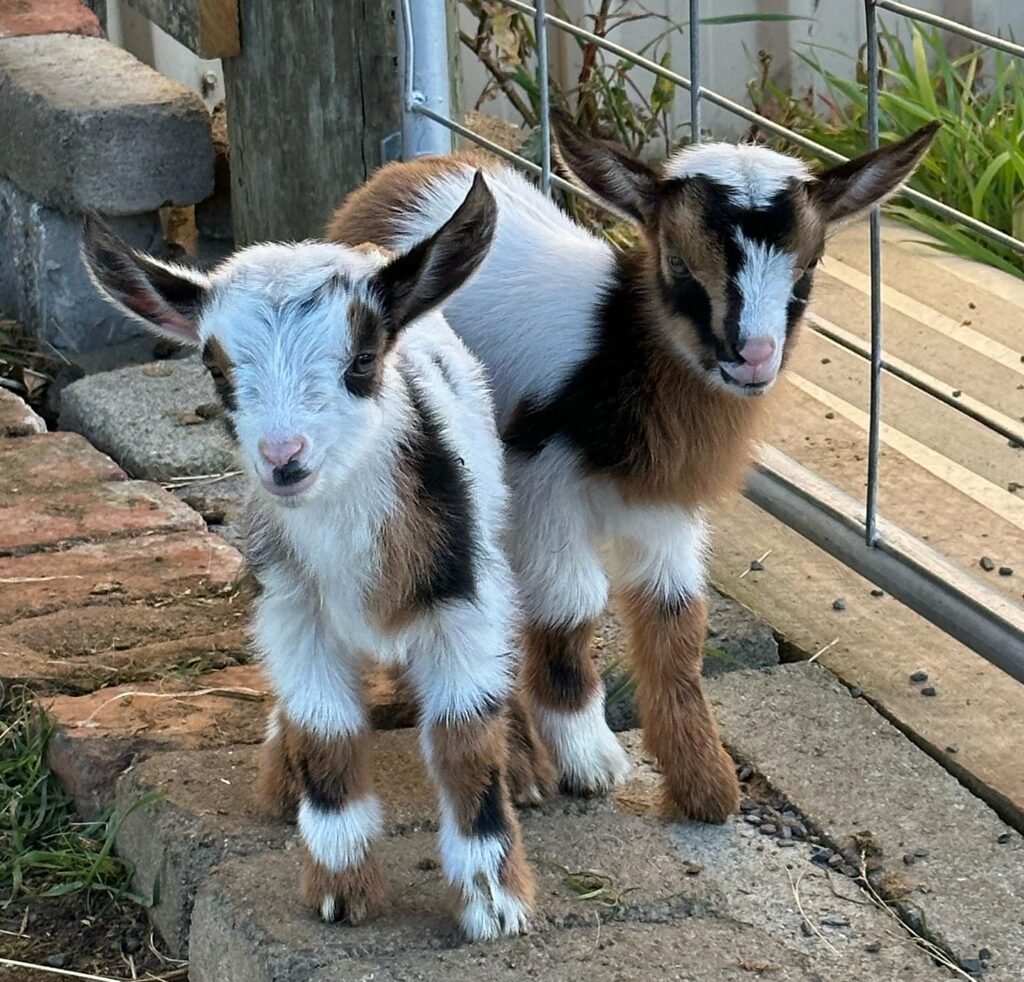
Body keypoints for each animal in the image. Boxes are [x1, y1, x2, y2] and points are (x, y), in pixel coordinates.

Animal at [81, 174, 548, 941]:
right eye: (216, 371)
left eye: (361, 360)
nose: (284, 459)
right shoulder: (292, 609)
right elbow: (324, 733)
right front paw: (339, 887)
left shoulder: (462, 599)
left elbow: (463, 741)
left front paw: (494, 904)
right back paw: (280, 774)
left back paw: (530, 771)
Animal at [327, 117, 939, 823]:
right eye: (677, 261)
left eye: (808, 266)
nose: (754, 357)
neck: (617, 352)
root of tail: (401, 176)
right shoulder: (541, 486)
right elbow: (569, 603)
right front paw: (586, 757)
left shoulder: (665, 505)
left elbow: (676, 616)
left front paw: (704, 784)